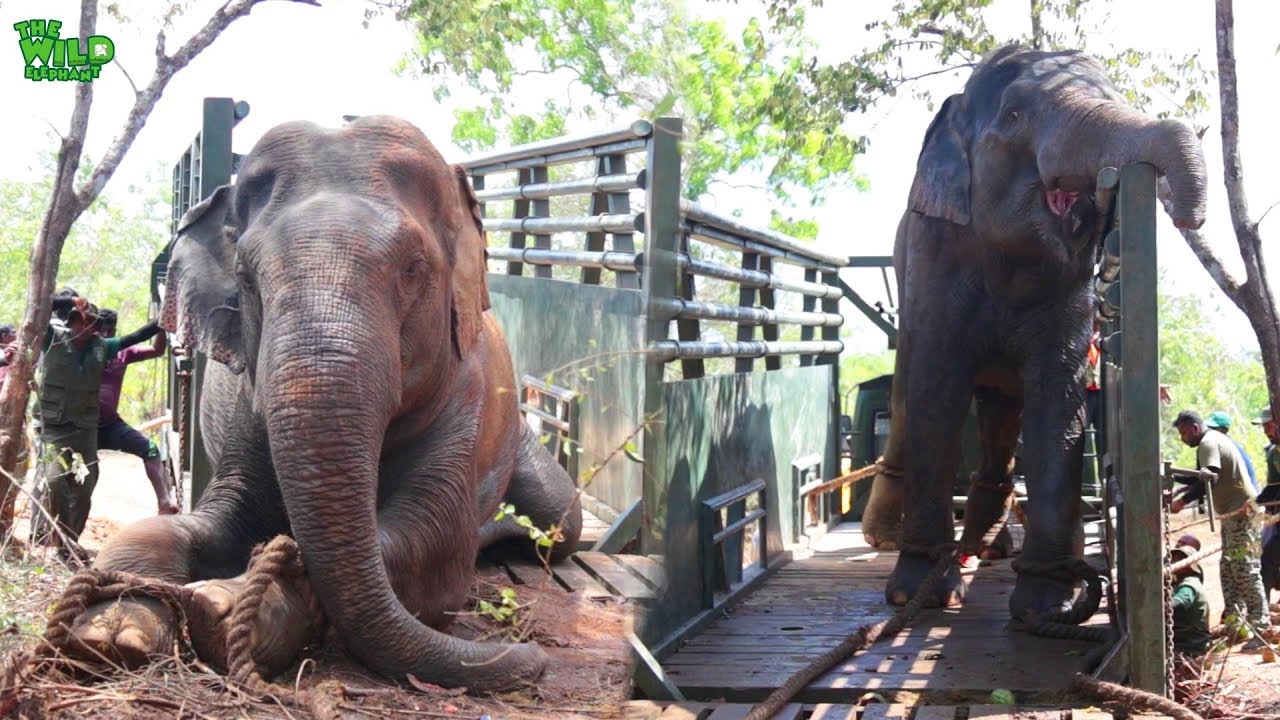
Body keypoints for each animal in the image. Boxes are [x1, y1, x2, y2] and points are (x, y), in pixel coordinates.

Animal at [62, 116, 584, 693]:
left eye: (413, 268)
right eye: (246, 277)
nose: (533, 655)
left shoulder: (463, 398)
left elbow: (436, 552)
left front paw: (227, 606)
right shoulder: (249, 406)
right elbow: (197, 523)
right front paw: (110, 634)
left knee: (560, 518)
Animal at [858, 44, 1207, 617]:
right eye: (1016, 114)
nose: (1188, 220)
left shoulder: (1068, 289)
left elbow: (1057, 396)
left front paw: (1048, 605)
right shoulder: (934, 254)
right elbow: (937, 391)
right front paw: (917, 593)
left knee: (1001, 418)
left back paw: (990, 547)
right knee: (910, 395)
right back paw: (894, 540)